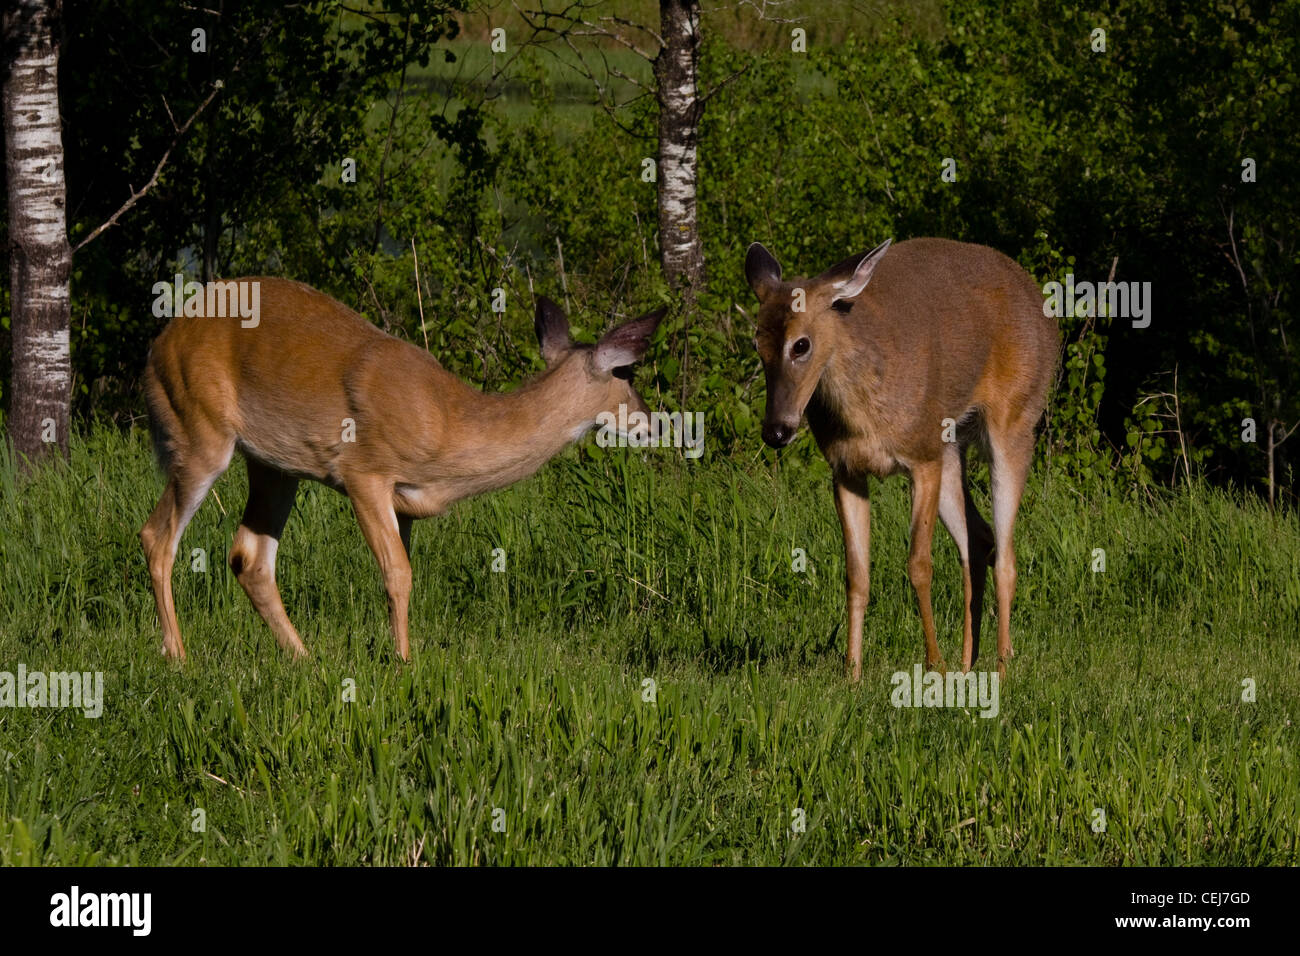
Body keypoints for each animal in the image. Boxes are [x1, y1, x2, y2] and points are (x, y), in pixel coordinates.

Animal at [139, 277, 665, 662]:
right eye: (626, 374)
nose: (656, 422)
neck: (451, 426)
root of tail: (157, 348)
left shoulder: (406, 503)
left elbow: (404, 574)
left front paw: (399, 653)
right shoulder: (363, 471)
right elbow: (397, 573)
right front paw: (405, 663)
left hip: (273, 465)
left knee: (248, 557)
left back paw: (304, 658)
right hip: (199, 429)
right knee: (157, 535)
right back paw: (179, 655)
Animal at [744, 237, 1059, 682]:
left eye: (801, 344)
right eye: (757, 344)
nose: (775, 431)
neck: (863, 415)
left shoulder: (922, 457)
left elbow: (919, 565)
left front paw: (934, 664)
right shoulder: (846, 471)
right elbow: (856, 575)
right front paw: (852, 673)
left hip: (1015, 418)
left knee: (1007, 555)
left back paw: (1000, 666)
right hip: (952, 448)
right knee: (979, 539)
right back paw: (968, 663)